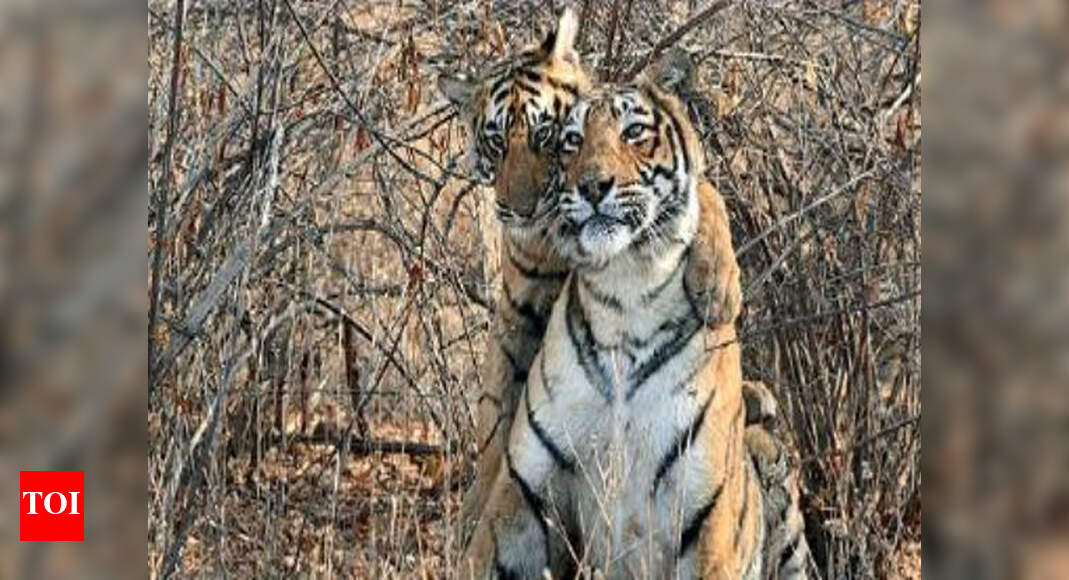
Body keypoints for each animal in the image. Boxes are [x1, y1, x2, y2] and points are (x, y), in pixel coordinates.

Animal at [438, 8, 742, 549]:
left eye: (544, 135)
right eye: (495, 143)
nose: (519, 208)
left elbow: (706, 195)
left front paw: (719, 286)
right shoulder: (520, 311)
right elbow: (499, 413)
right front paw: (478, 512)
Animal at [456, 73, 810, 578]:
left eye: (634, 132)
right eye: (572, 140)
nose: (592, 185)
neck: (626, 291)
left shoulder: (706, 521)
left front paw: (717, 283)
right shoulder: (524, 493)